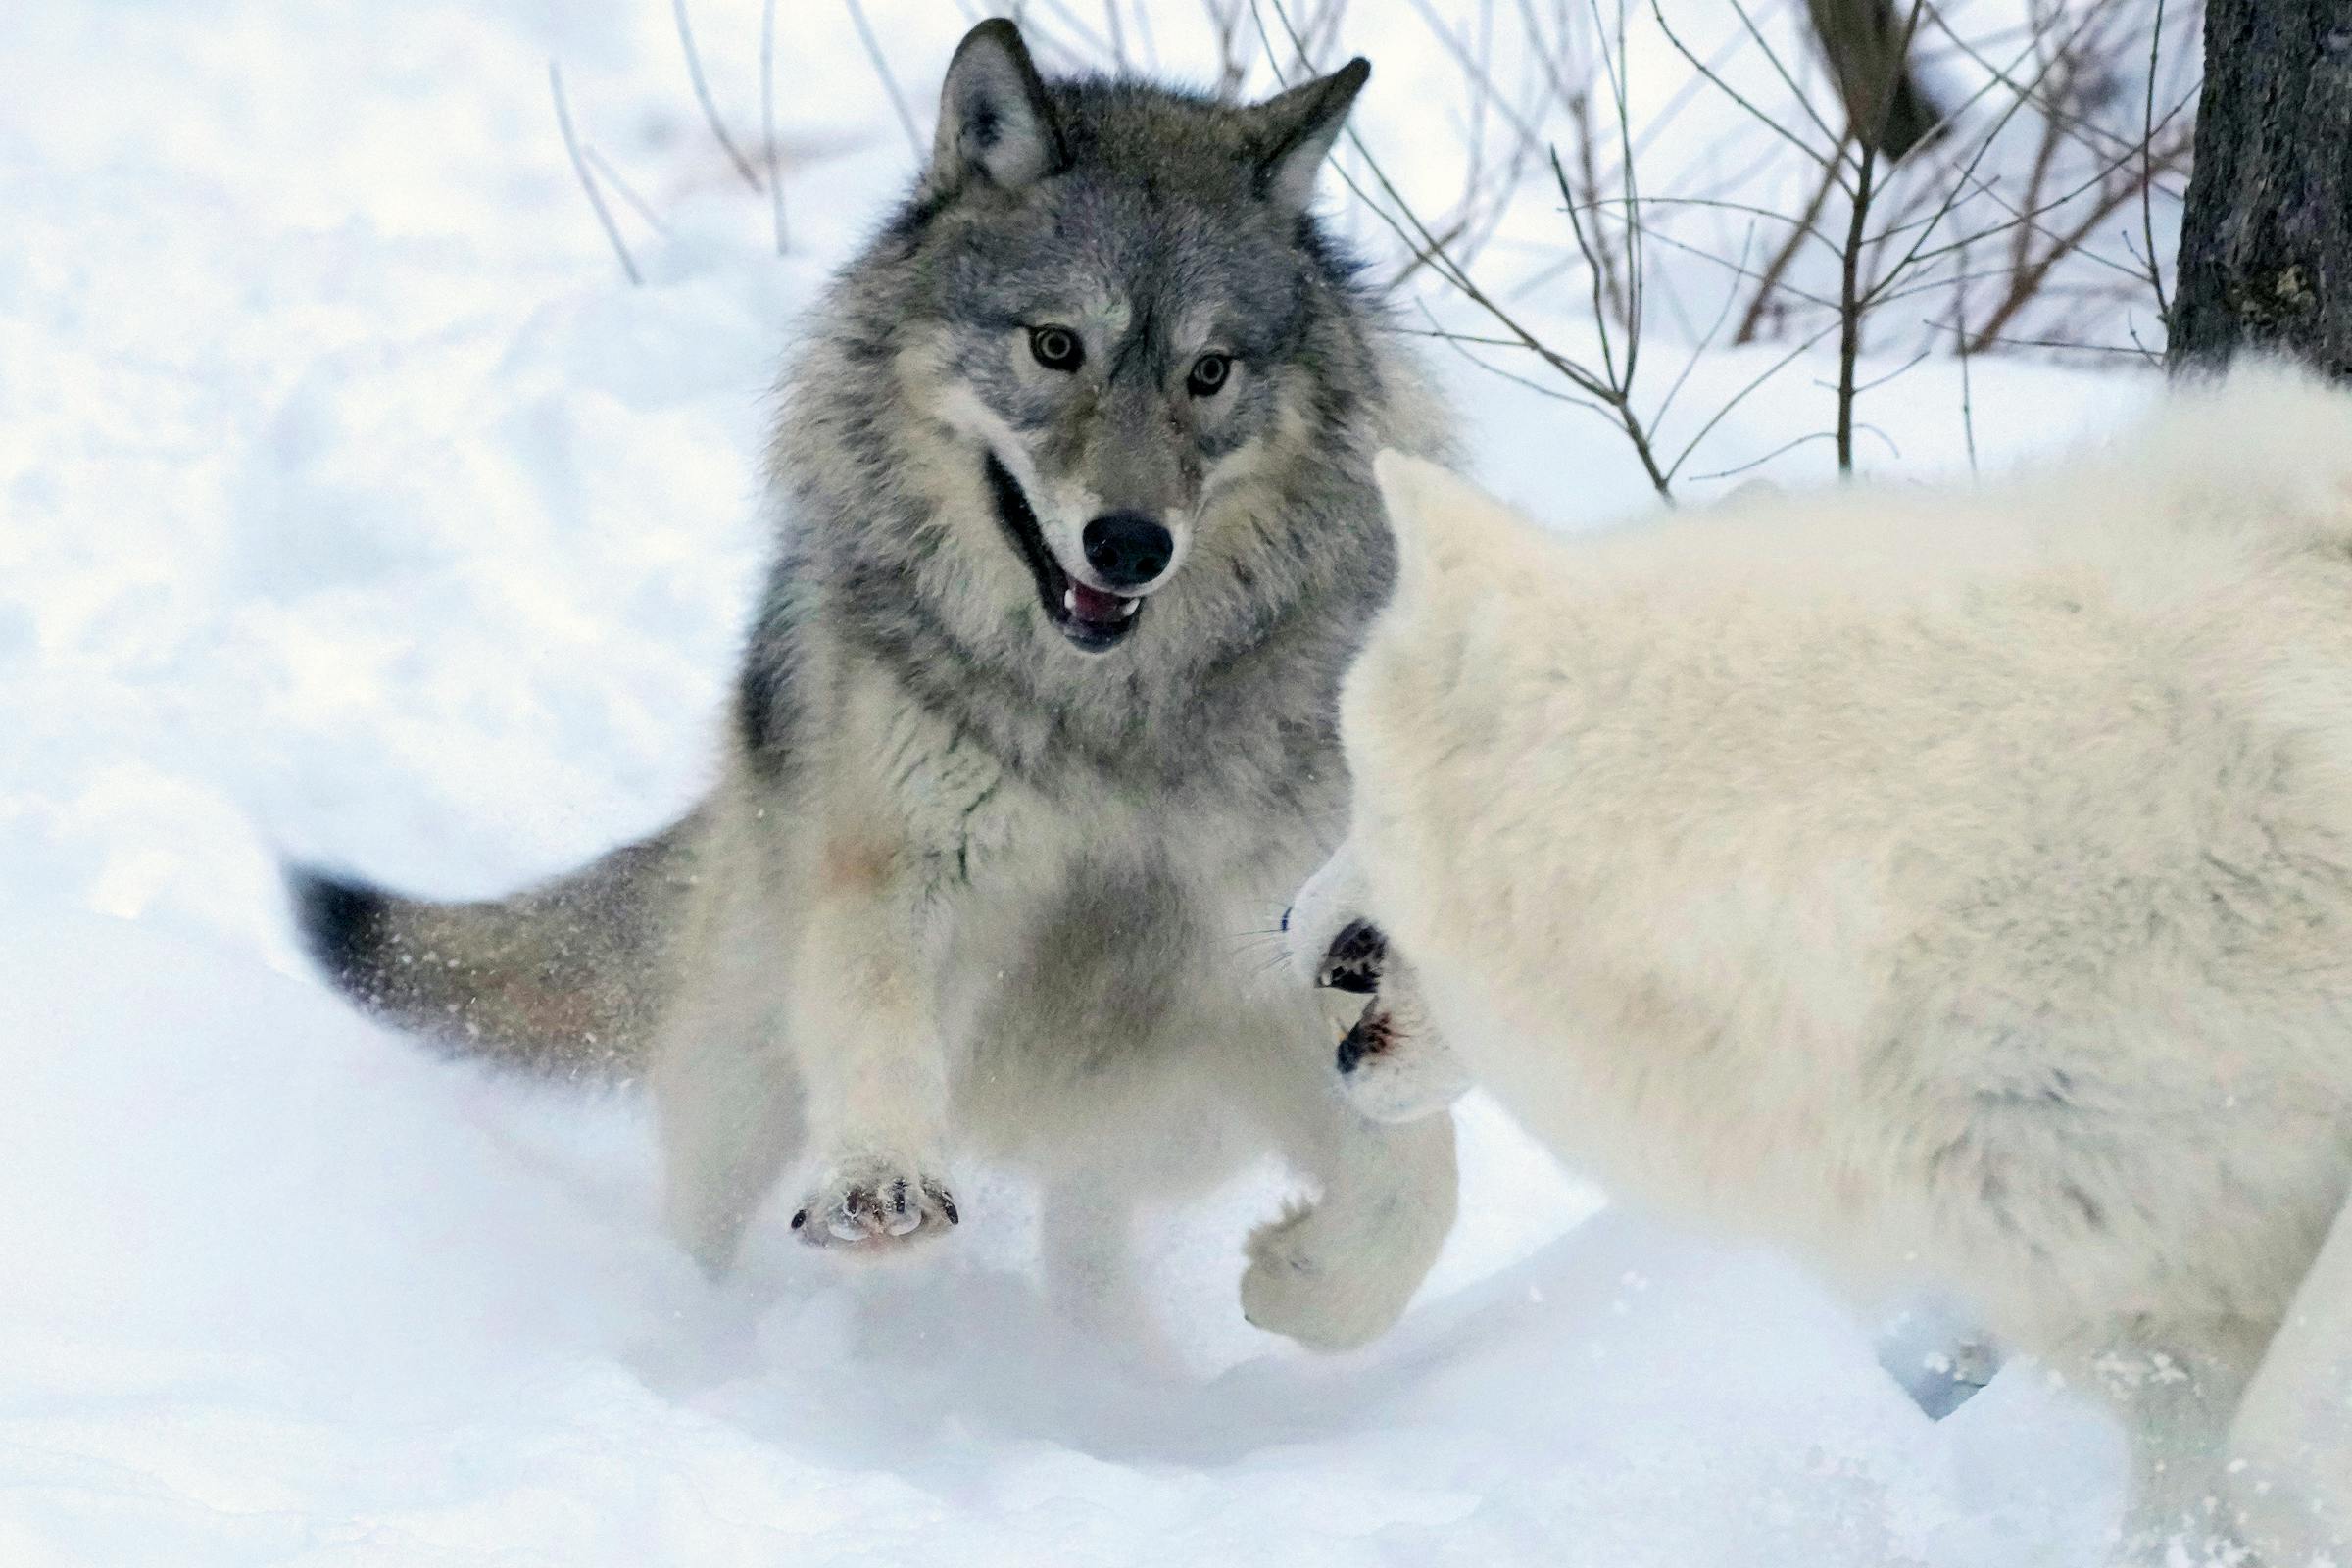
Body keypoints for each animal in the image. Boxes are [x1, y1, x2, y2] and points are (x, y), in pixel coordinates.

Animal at [290, 19, 1460, 1353]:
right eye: (1055, 346)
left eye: (1208, 371)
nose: (1127, 544)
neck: (1107, 721)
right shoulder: (903, 881)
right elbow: (880, 1041)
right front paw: (879, 1187)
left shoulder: (1278, 951)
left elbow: (1419, 1185)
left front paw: (1299, 1282)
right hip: (743, 1056)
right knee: (704, 1211)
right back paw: (690, 1343)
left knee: (1089, 1237)